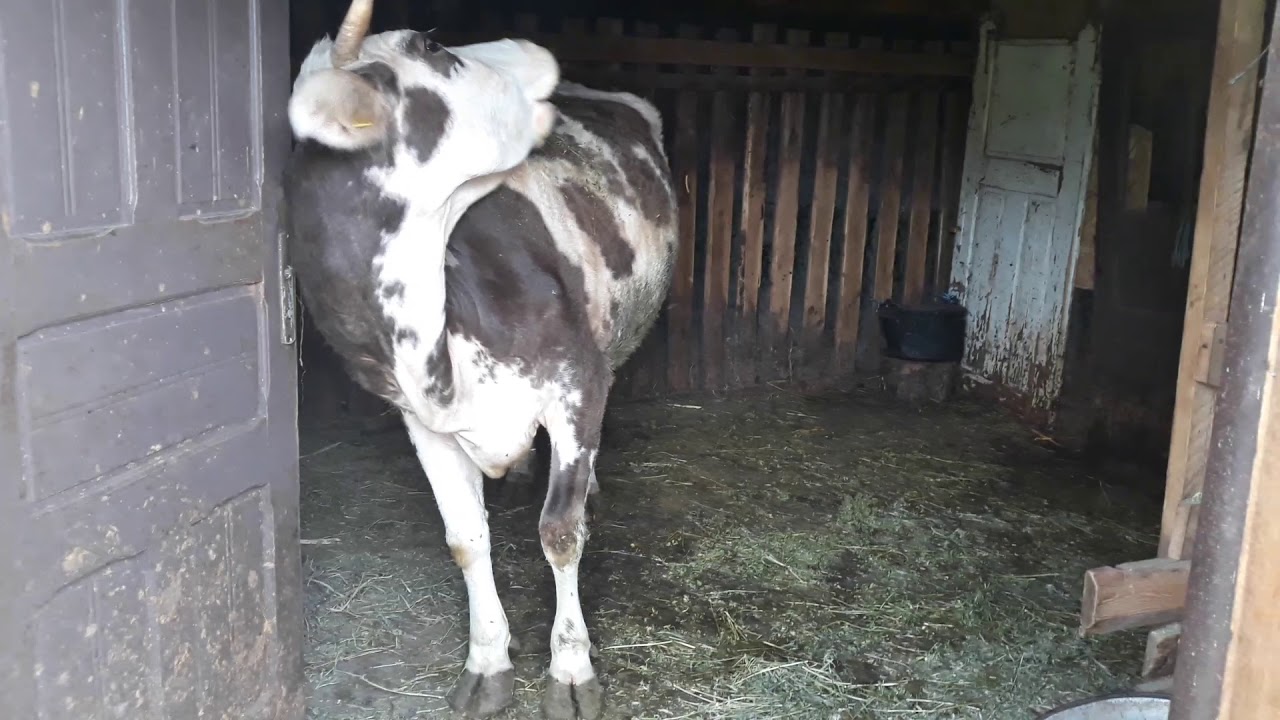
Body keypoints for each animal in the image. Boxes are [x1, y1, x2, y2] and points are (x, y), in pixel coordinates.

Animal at [283, 1, 678, 718]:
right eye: (432, 46)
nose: (533, 46)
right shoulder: (423, 422)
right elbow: (466, 540)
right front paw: (489, 659)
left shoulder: (577, 386)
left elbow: (561, 531)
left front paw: (571, 669)